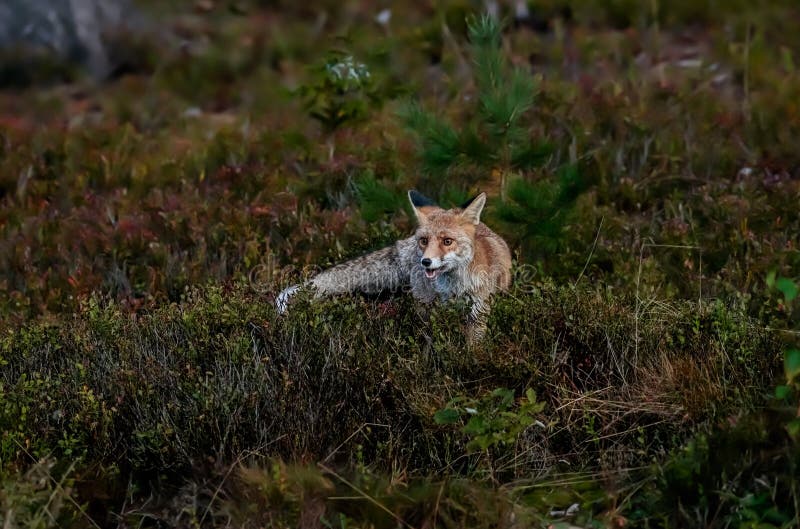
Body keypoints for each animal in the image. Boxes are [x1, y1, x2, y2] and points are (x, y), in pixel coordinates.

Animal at [276, 190, 512, 342]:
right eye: (424, 241)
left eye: (447, 241)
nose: (425, 261)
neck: (452, 290)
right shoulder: (432, 312)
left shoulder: (478, 313)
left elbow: (473, 349)